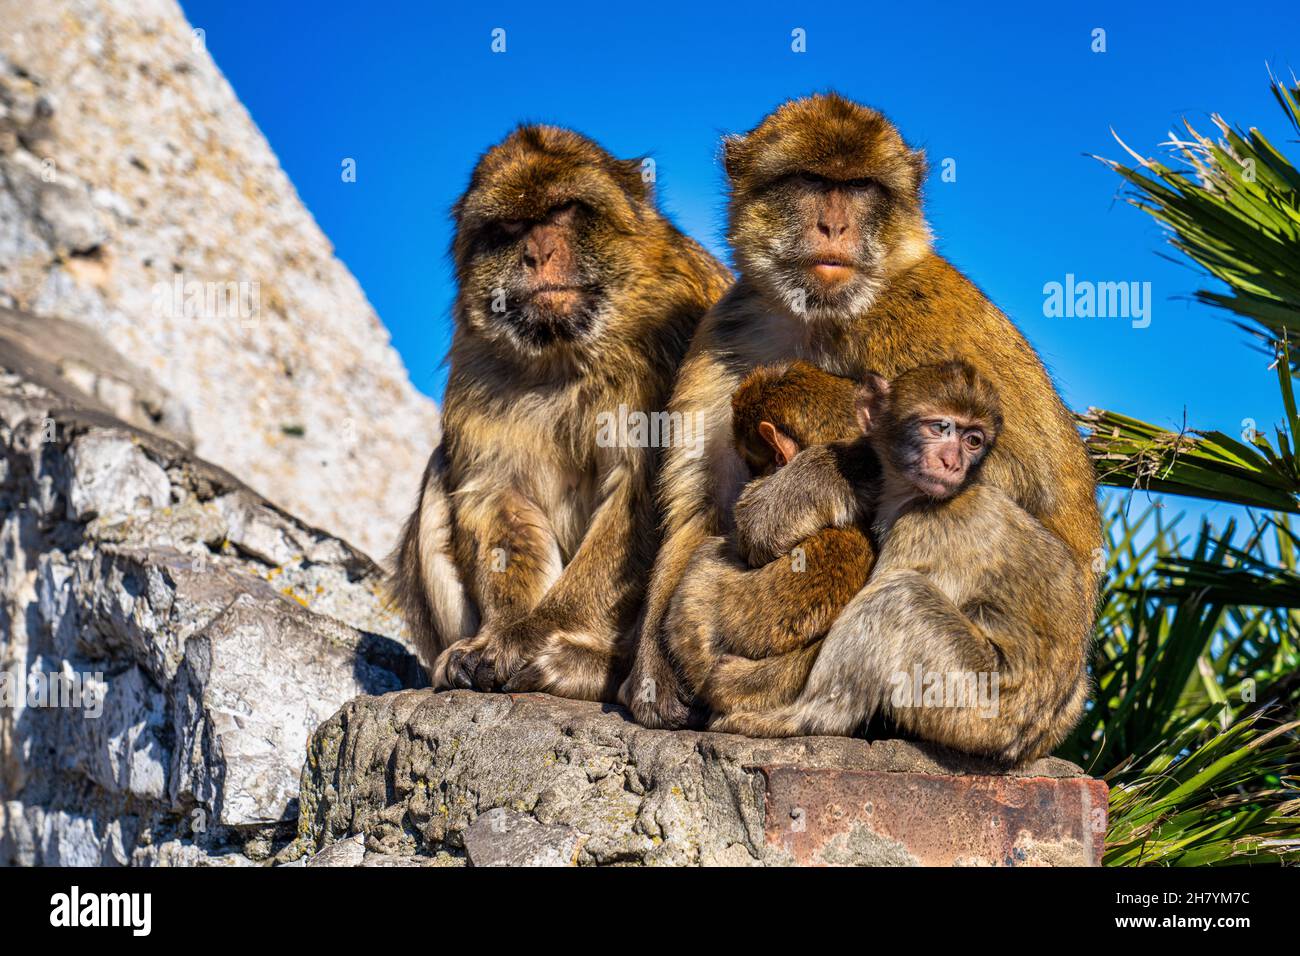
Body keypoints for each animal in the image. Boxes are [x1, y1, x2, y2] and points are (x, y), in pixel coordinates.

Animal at [390, 124, 731, 701]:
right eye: (512, 226)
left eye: (565, 211)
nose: (538, 252)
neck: (565, 352)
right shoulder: (477, 360)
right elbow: (497, 493)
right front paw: (502, 632)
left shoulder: (671, 336)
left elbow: (639, 497)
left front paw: (528, 637)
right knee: (442, 468)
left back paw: (590, 668)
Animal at [709, 361, 1092, 766]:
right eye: (940, 428)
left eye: (973, 440)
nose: (952, 462)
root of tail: (1025, 744)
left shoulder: (924, 529)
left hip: (974, 704)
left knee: (898, 597)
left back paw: (807, 719)